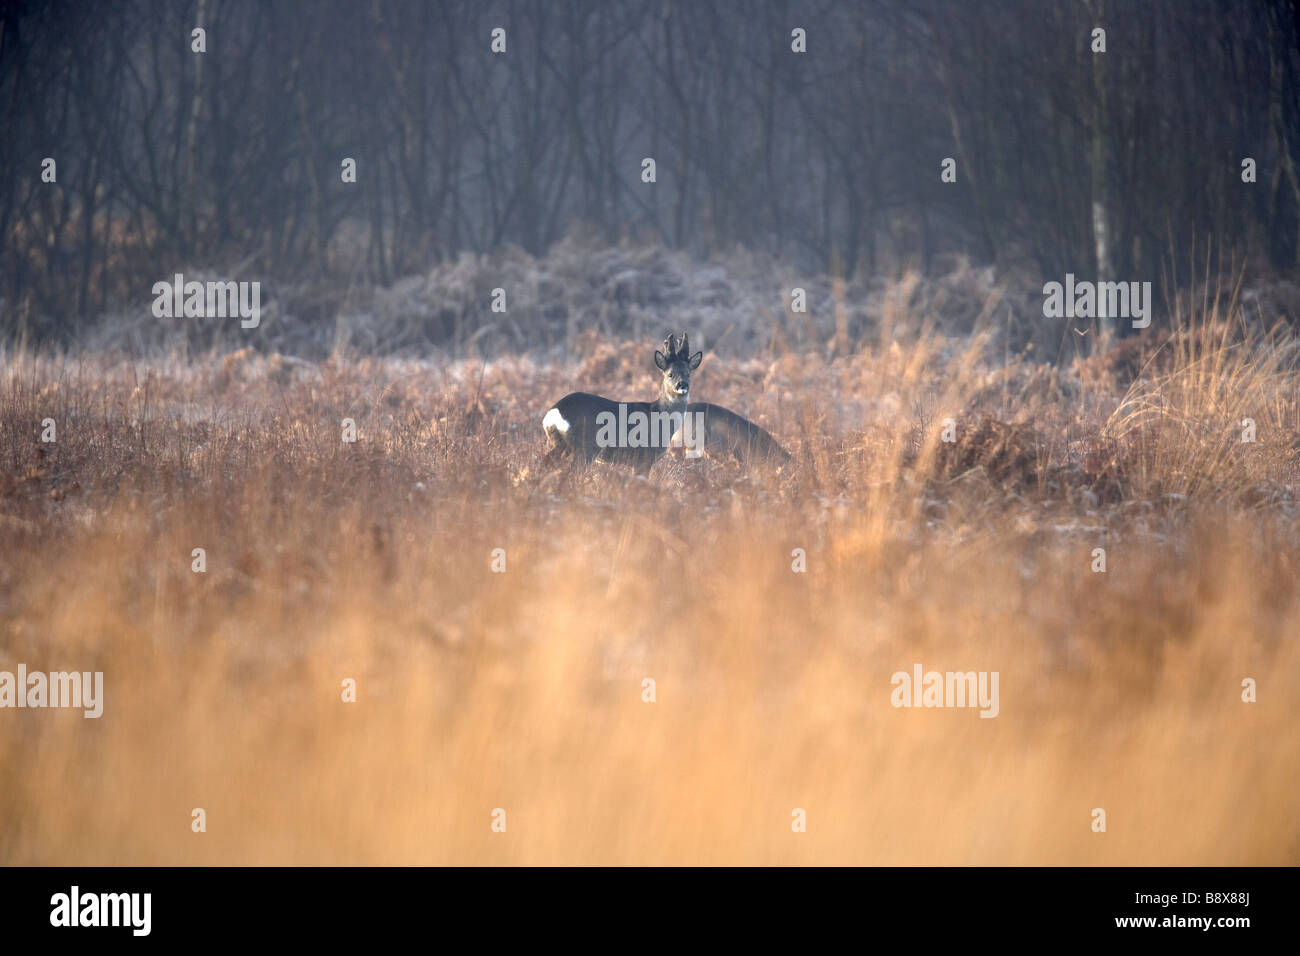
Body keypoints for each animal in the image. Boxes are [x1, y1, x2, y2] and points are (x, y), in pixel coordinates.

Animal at [542, 332, 790, 476]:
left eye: (688, 372)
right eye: (670, 373)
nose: (682, 385)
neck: (659, 417)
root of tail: (553, 413)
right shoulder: (643, 457)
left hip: (559, 446)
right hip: (585, 448)